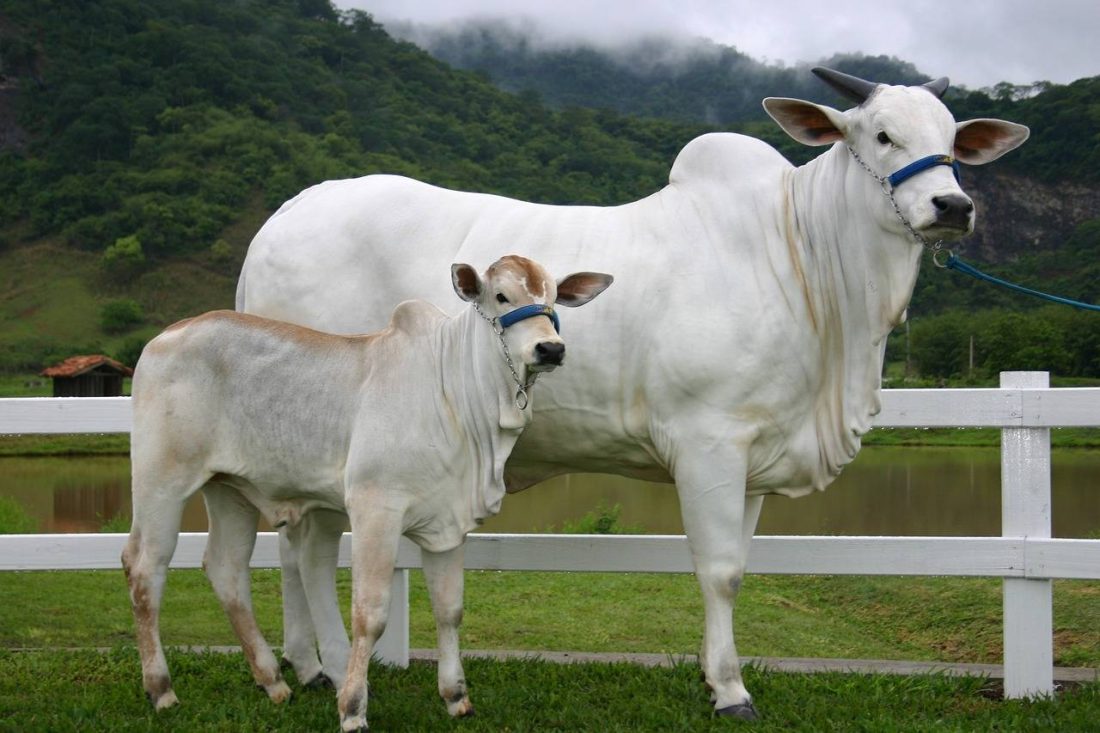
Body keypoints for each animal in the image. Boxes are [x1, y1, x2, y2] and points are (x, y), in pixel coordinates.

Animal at [121, 255, 613, 731]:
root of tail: (167, 335)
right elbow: (370, 613)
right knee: (145, 567)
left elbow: (449, 609)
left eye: (553, 298)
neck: (456, 394)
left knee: (226, 569)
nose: (550, 348)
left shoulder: (450, 523)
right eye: (500, 296)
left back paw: (273, 682)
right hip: (161, 480)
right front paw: (353, 709)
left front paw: (456, 697)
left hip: (229, 490)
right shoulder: (376, 508)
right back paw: (161, 689)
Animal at [235, 68, 1029, 719]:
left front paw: (714, 675)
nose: (951, 204)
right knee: (308, 550)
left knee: (297, 548)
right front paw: (731, 690)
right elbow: (719, 570)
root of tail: (281, 219)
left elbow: (738, 566)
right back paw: (324, 666)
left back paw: (308, 664)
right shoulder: (710, 440)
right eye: (883, 134)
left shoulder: (755, 453)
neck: (806, 258)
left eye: (954, 143)